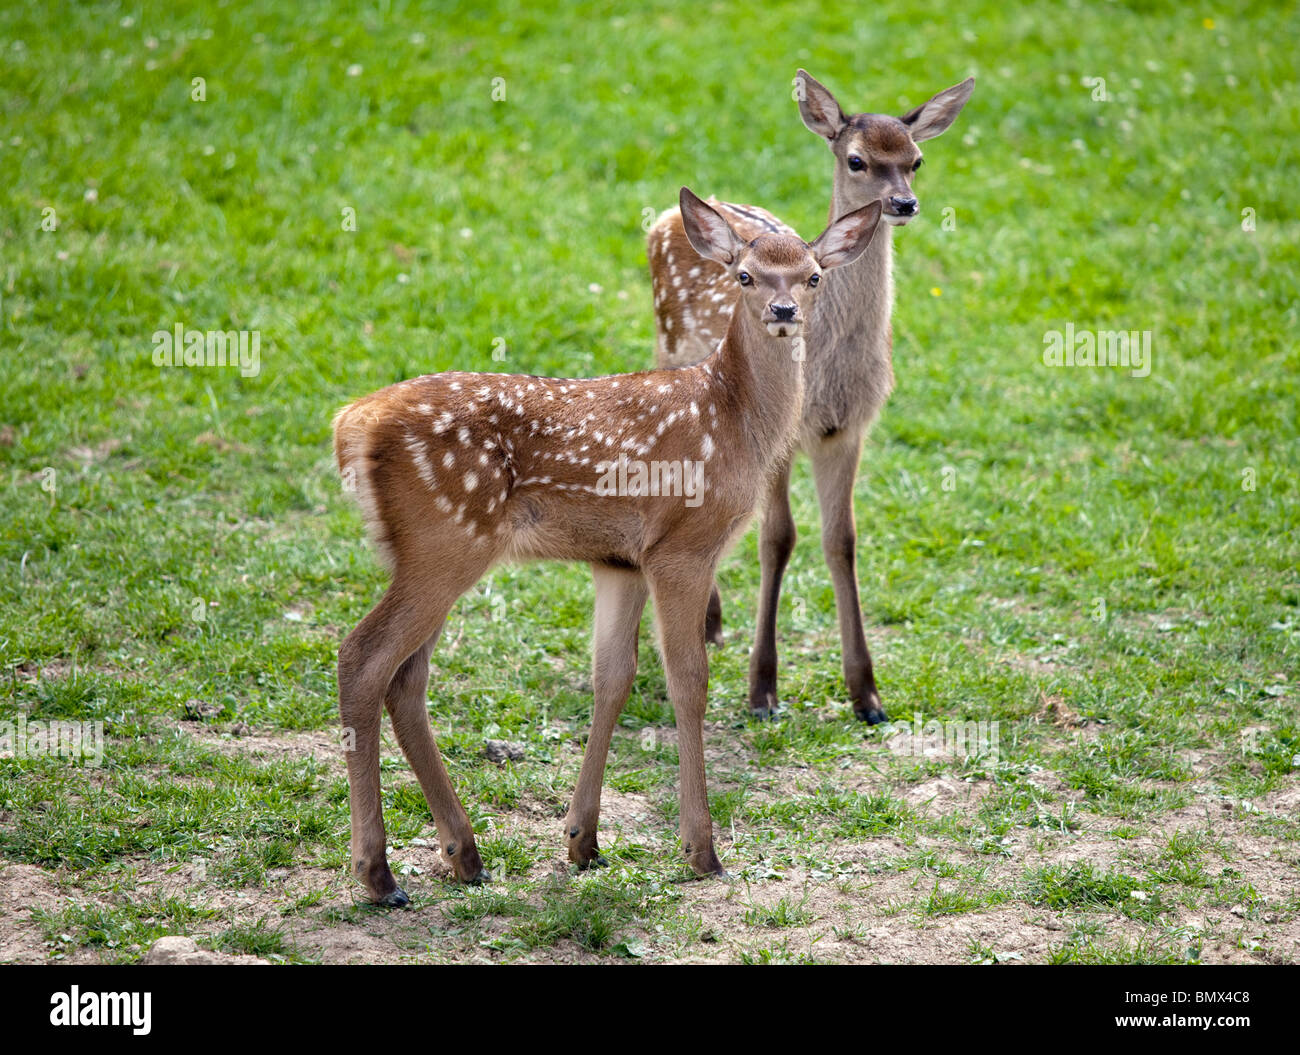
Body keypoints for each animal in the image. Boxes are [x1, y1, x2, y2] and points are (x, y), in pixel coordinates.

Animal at [332, 188, 882, 904]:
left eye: (813, 276)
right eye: (745, 276)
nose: (784, 311)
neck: (732, 418)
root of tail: (350, 424)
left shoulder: (620, 561)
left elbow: (612, 678)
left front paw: (582, 841)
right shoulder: (682, 548)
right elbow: (688, 681)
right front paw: (701, 849)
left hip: (431, 551)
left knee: (406, 678)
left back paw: (465, 854)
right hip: (444, 540)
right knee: (363, 659)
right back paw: (378, 873)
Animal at [648, 70, 974, 724]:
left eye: (917, 160)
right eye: (857, 160)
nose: (903, 204)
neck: (828, 371)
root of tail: (666, 219)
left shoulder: (849, 429)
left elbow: (841, 541)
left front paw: (867, 693)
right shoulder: (784, 434)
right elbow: (778, 539)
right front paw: (762, 689)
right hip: (669, 349)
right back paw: (709, 621)